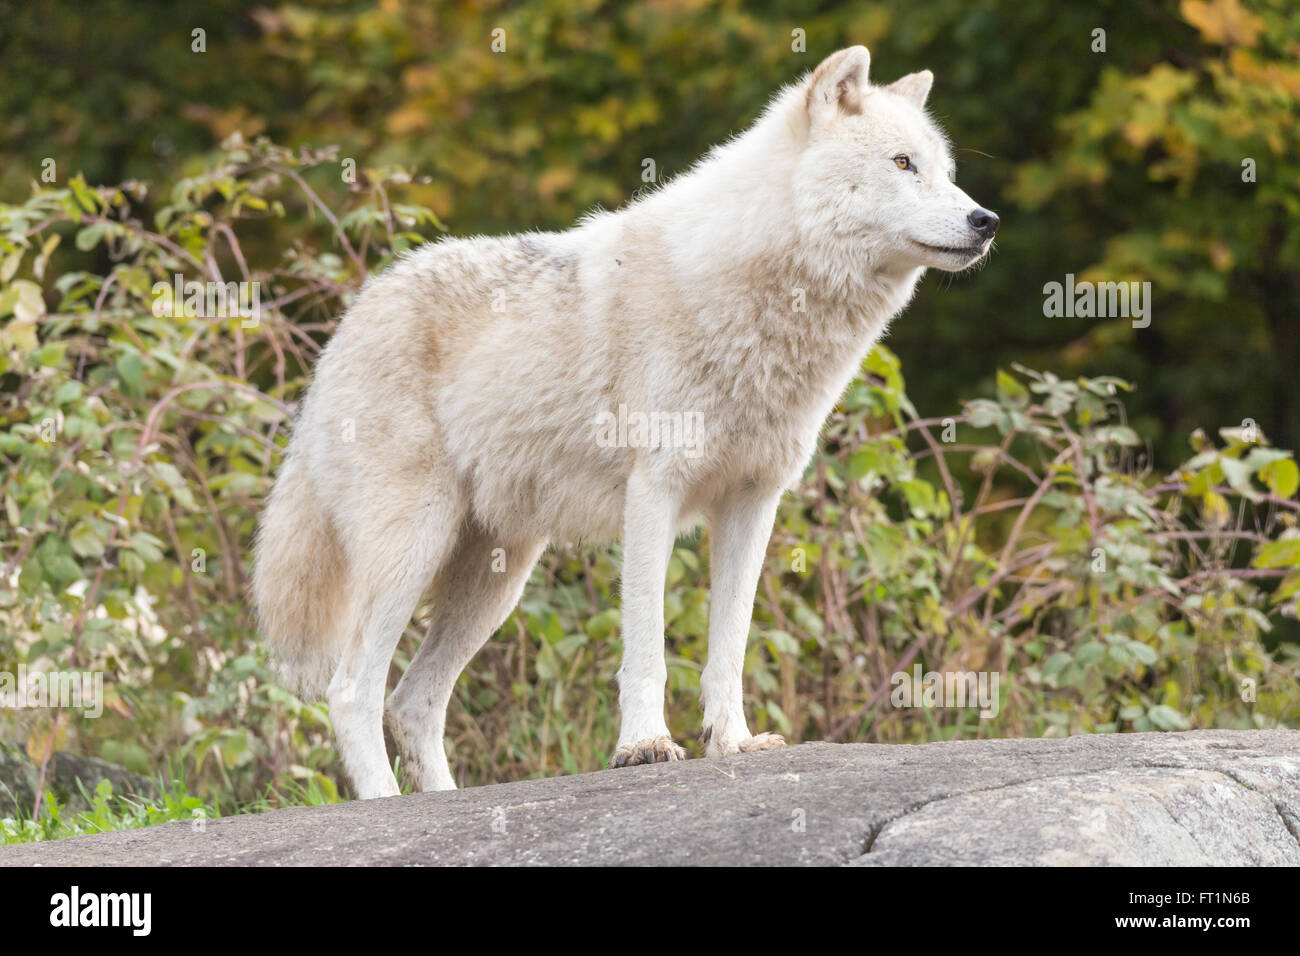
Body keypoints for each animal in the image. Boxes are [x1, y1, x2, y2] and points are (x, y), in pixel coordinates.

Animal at [252, 46, 998, 799]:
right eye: (903, 163)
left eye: (946, 171)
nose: (986, 220)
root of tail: (346, 324)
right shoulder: (654, 493)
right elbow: (647, 644)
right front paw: (644, 745)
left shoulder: (753, 502)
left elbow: (729, 646)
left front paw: (733, 742)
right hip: (414, 549)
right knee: (352, 691)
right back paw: (386, 802)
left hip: (496, 577)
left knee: (413, 701)